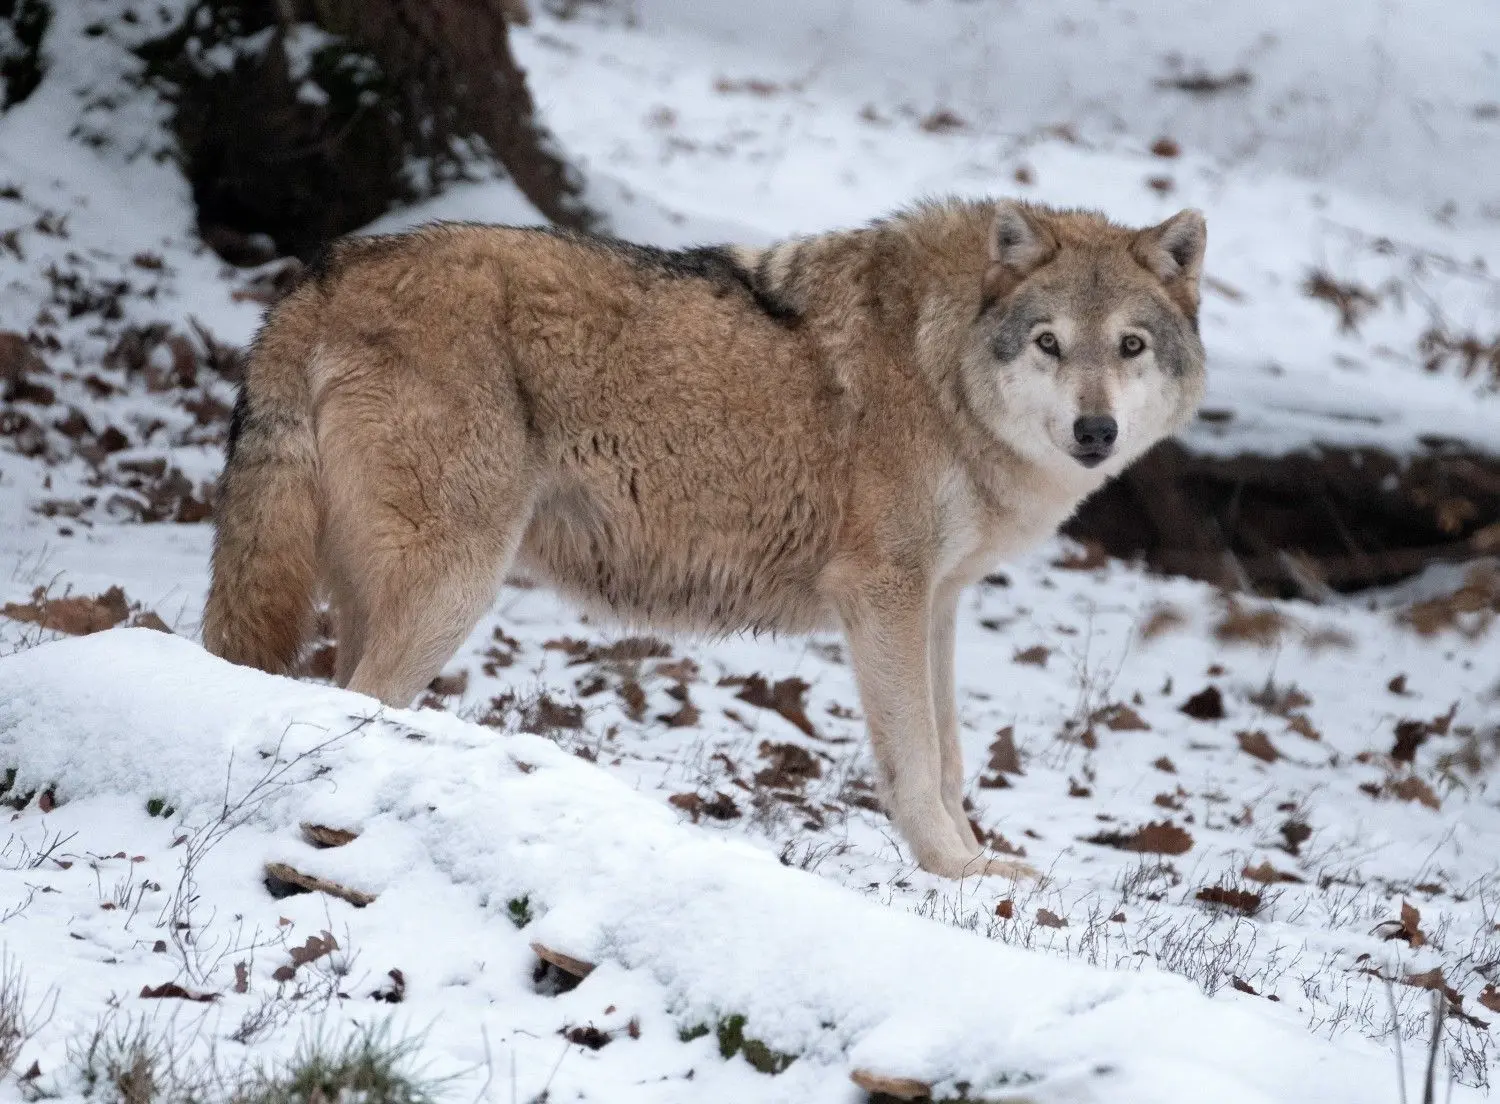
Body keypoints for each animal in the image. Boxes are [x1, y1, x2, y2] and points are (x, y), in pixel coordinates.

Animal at [202, 198, 1207, 880]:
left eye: (1129, 347)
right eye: (1048, 342)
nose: (1095, 432)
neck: (940, 366)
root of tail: (320, 274)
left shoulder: (939, 603)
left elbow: (953, 756)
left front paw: (978, 865)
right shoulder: (881, 595)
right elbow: (917, 760)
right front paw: (955, 875)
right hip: (455, 586)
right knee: (352, 701)